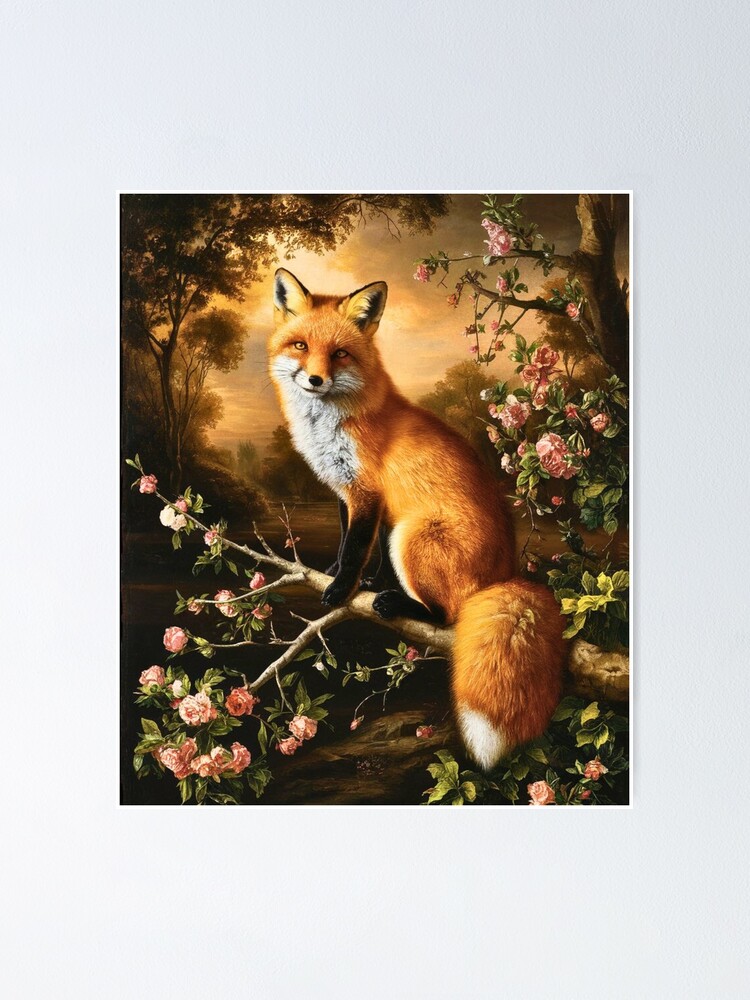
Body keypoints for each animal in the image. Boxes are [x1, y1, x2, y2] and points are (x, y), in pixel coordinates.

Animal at [268, 268, 567, 770]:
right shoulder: (347, 493)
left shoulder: (368, 492)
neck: (332, 426)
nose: (314, 379)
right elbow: (350, 544)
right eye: (300, 345)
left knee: (447, 615)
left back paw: (401, 604)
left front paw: (341, 588)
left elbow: (356, 549)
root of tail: (504, 575)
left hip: (411, 536)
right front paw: (347, 576)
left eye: (340, 353)